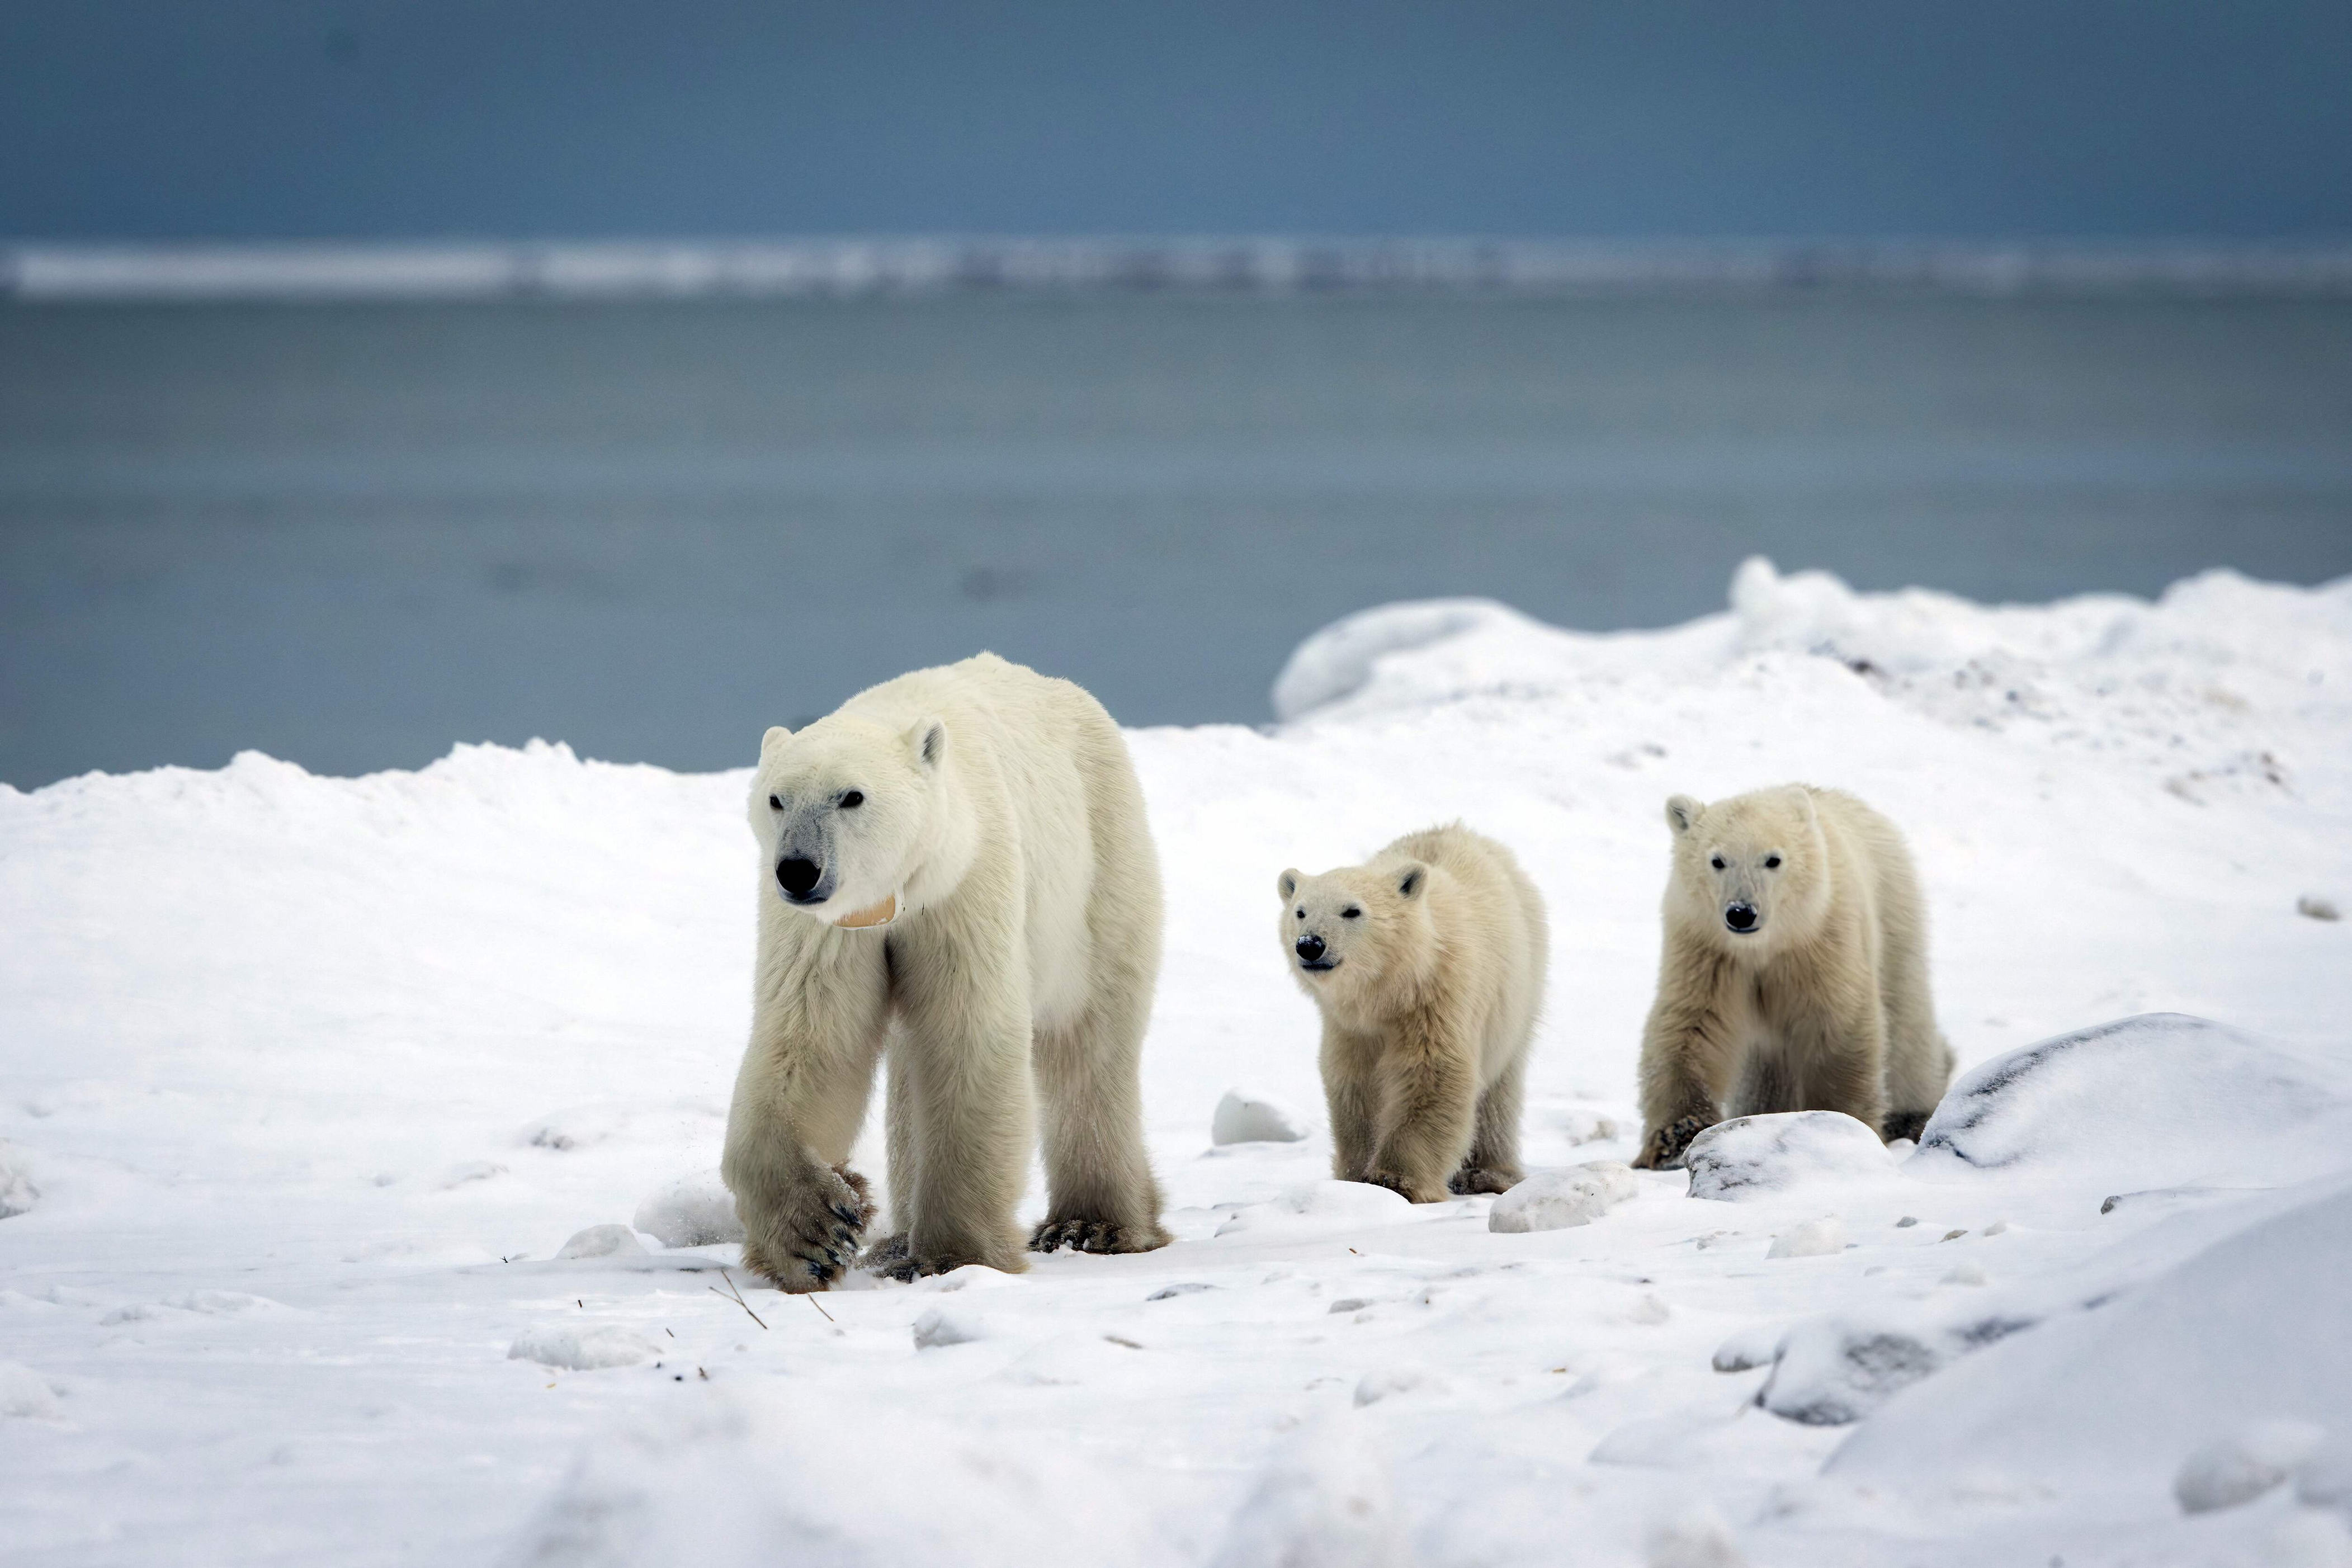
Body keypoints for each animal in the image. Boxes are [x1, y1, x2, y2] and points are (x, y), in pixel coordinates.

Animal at [721, 652, 1170, 1291]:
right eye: (776, 799)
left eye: (851, 796)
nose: (798, 870)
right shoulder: (832, 930)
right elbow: (811, 1039)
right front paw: (816, 1232)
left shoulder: (965, 885)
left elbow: (967, 1036)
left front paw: (953, 1255)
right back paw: (896, 1239)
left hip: (1100, 864)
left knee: (1088, 1038)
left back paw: (1093, 1224)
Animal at [1278, 824, 1548, 1203]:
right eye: (1300, 911)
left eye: (1352, 911)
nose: (1310, 945)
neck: (1389, 990)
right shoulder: (1350, 1026)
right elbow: (1355, 1083)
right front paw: (1355, 1176)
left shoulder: (1437, 1001)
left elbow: (1432, 1075)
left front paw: (1396, 1180)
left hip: (1518, 992)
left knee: (1499, 1091)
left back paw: (1487, 1175)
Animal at [1631, 784, 1954, 1170]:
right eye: (1717, 860)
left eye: (1774, 860)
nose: (1741, 913)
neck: (1765, 946)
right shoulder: (1706, 949)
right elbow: (1691, 1025)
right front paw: (1674, 1140)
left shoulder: (1821, 939)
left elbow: (1837, 1024)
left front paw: (1843, 1124)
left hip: (1895, 911)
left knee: (1907, 1017)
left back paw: (1911, 1116)